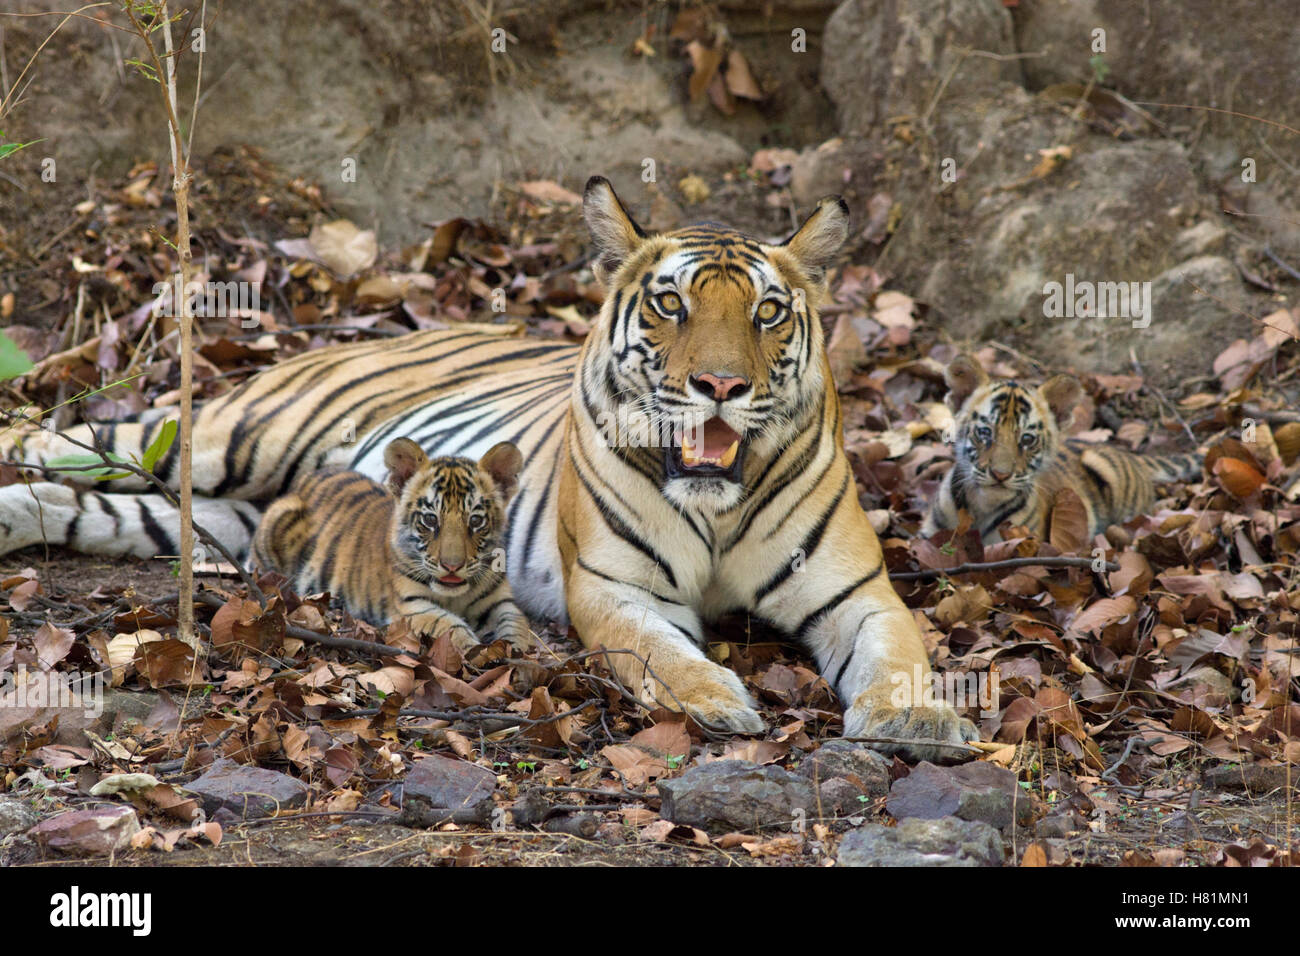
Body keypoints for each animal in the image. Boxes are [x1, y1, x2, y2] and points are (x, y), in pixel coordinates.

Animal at [252, 438, 529, 653]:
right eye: (430, 519)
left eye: (475, 520)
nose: (452, 566)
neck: (455, 596)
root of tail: (308, 477)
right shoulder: (411, 605)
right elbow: (449, 625)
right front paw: (473, 648)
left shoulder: (500, 602)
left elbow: (517, 624)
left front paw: (521, 650)